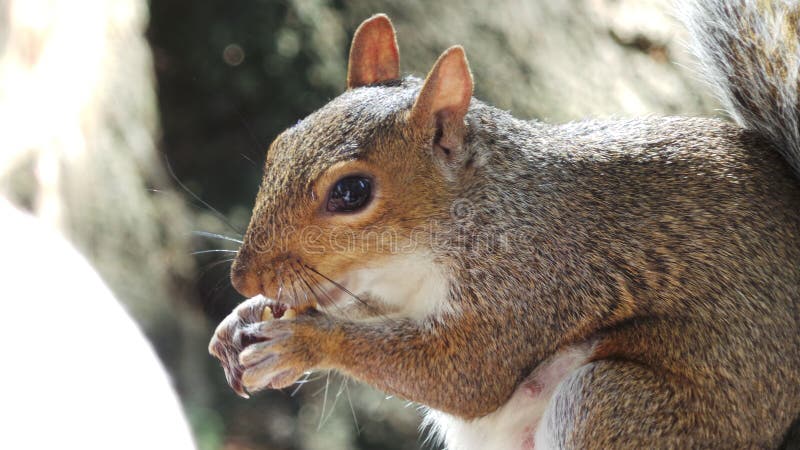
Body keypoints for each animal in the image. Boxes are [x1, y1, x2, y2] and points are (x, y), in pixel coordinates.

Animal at [209, 1, 800, 448]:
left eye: (351, 192)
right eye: (278, 145)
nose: (243, 278)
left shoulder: (533, 281)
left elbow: (468, 376)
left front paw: (301, 342)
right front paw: (242, 318)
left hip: (610, 402)